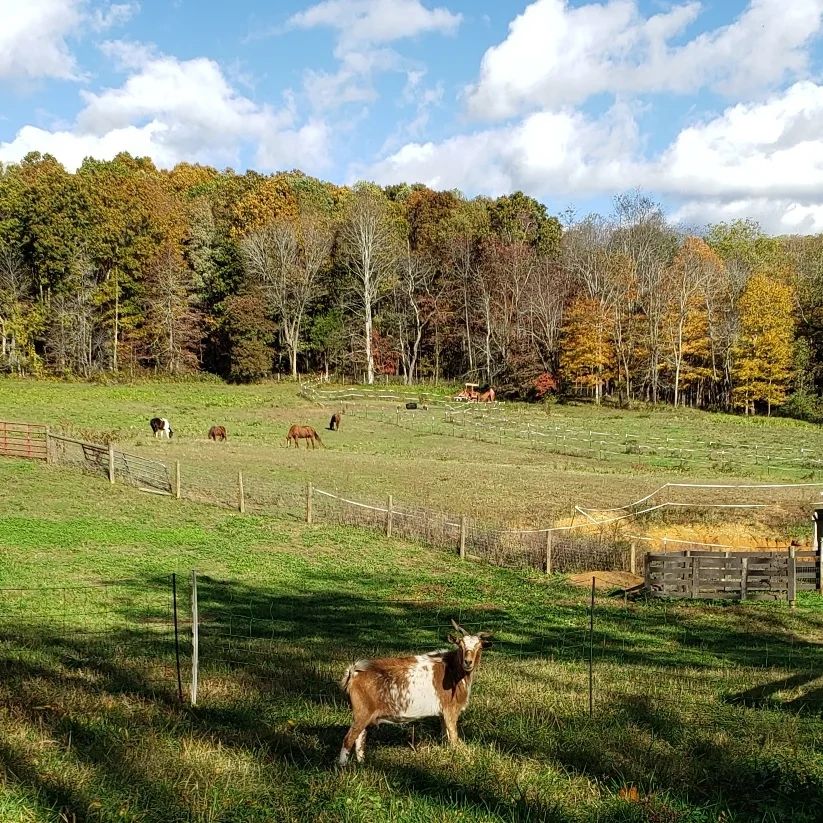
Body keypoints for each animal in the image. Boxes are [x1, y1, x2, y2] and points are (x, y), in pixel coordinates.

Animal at [338, 619, 492, 765]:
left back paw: (361, 762)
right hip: (362, 713)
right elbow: (453, 738)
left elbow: (444, 735)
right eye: (460, 645)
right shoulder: (450, 709)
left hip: (364, 715)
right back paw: (342, 766)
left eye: (479, 647)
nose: (468, 662)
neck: (453, 670)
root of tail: (354, 672)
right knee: (348, 738)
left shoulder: (442, 712)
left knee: (359, 737)